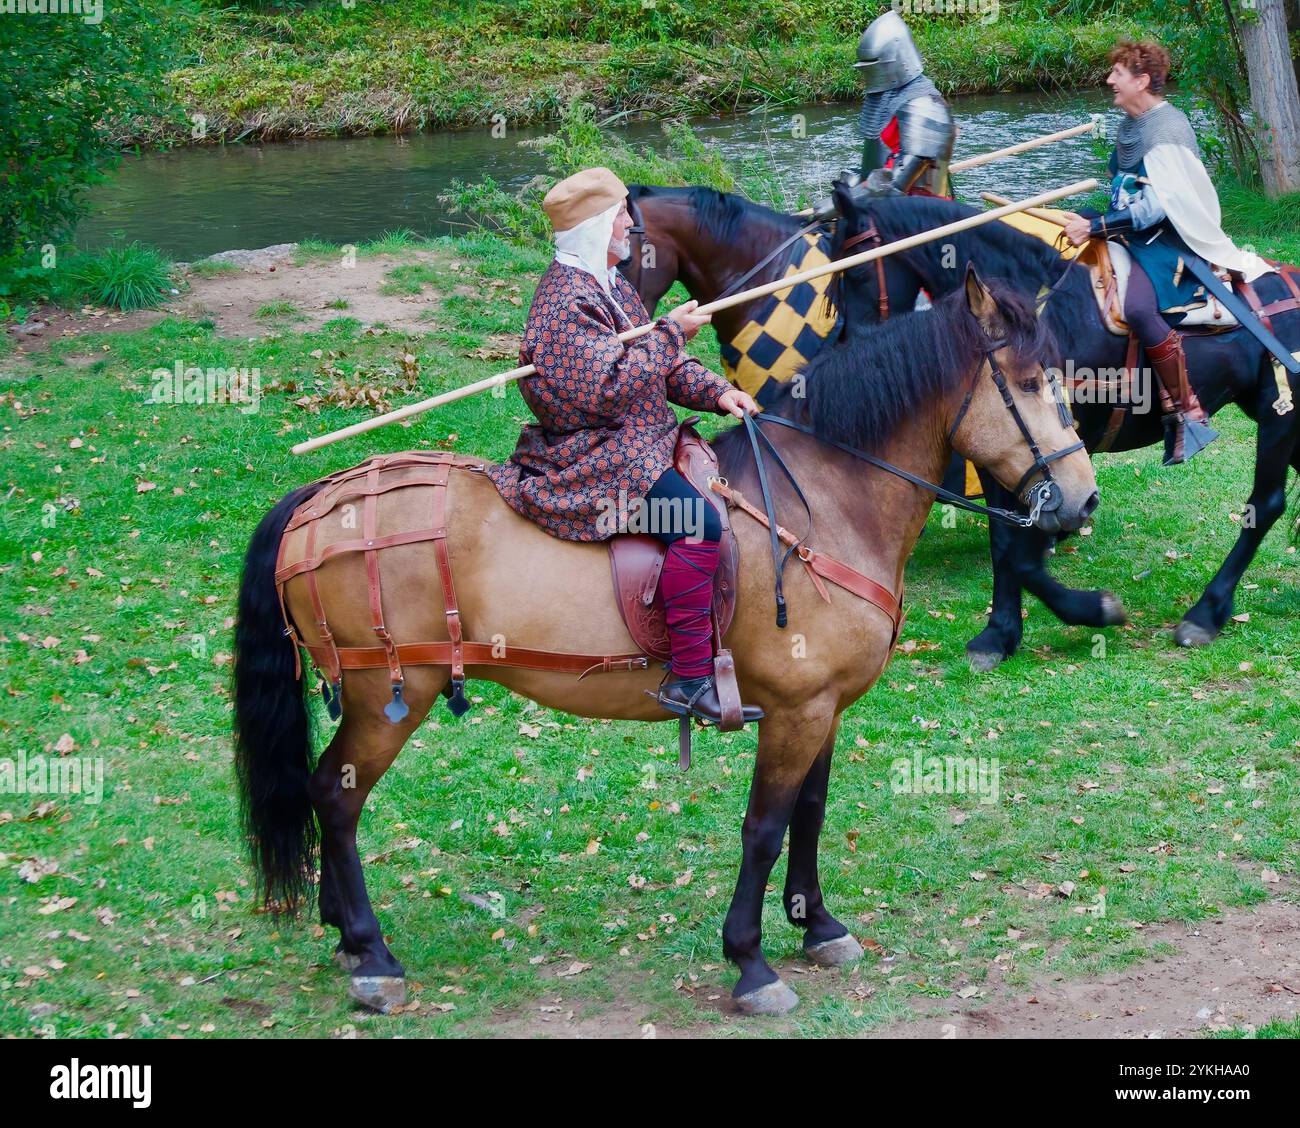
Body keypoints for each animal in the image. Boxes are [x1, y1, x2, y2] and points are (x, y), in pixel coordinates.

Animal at [232, 271, 1098, 1017]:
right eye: (1029, 383)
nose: (1083, 501)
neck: (827, 500)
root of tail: (316, 498)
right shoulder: (795, 710)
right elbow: (764, 829)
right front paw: (750, 962)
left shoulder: (822, 708)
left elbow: (811, 813)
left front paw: (819, 926)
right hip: (388, 696)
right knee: (335, 799)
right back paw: (372, 954)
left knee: (328, 799)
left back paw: (347, 939)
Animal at [829, 187, 1300, 668]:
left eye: (858, 272)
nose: (847, 349)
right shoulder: (1007, 453)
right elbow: (1004, 541)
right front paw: (1000, 633)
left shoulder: (1059, 450)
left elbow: (1023, 551)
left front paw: (1090, 610)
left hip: (1278, 415)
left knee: (1264, 505)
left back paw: (1206, 612)